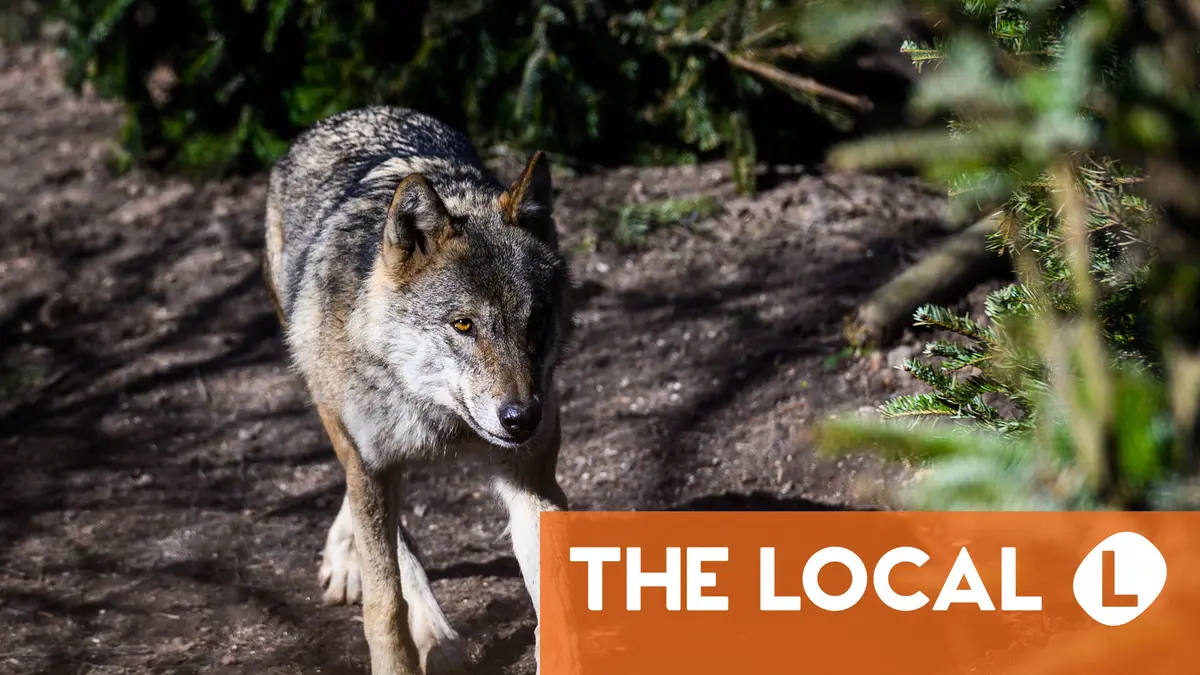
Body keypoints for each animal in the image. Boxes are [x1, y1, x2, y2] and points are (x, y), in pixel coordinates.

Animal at [262, 106, 576, 675]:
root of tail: (354, 112)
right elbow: (385, 603)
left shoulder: (531, 477)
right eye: (463, 324)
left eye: (536, 320)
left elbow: (556, 595)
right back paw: (434, 637)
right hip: (342, 423)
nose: (522, 419)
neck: (438, 417)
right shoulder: (369, 464)